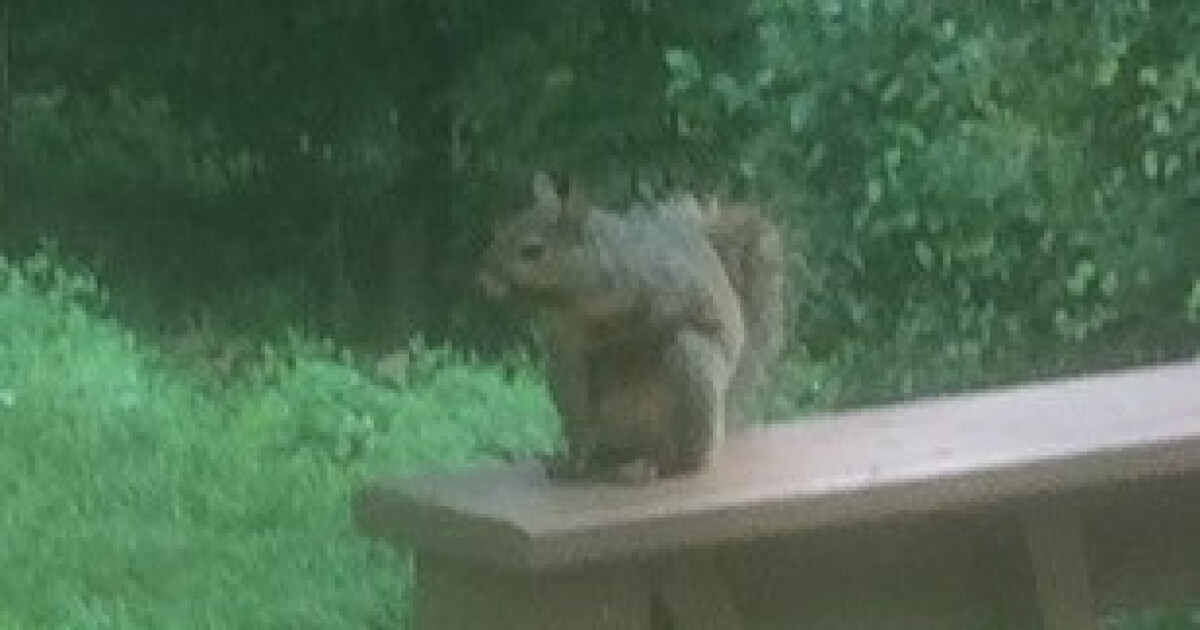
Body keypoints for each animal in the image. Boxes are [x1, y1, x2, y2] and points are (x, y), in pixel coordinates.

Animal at [478, 171, 786, 481]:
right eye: (504, 230)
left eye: (532, 251)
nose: (484, 278)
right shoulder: (562, 335)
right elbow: (568, 341)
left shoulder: (671, 285)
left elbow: (665, 320)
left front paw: (621, 340)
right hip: (568, 384)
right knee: (586, 434)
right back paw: (578, 463)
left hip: (691, 369)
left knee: (690, 456)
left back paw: (659, 465)